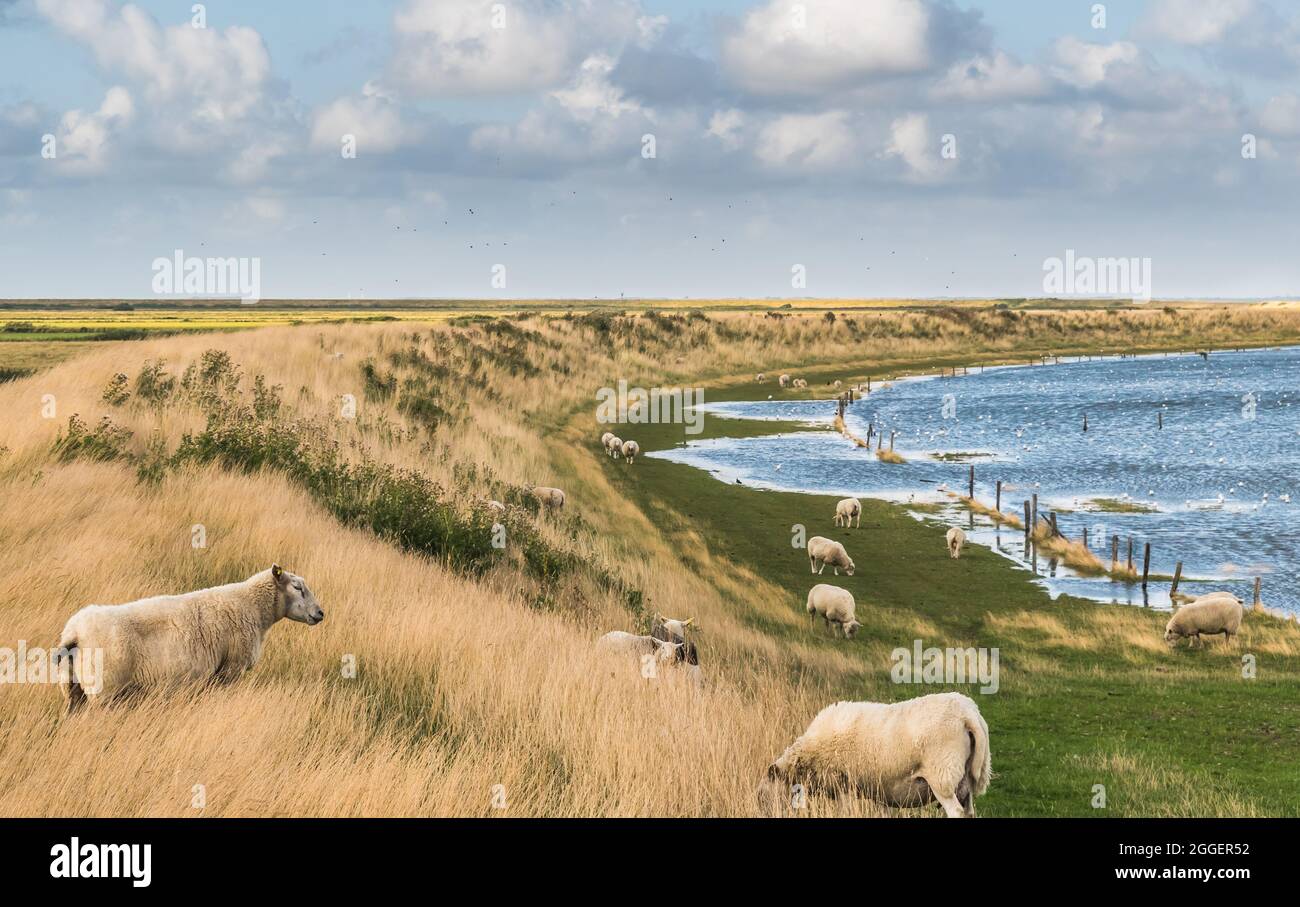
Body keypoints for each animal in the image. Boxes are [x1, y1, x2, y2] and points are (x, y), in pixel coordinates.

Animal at [55, 564, 324, 713]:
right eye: (298, 587)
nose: (321, 613)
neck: (253, 607)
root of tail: (74, 633)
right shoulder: (230, 669)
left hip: (72, 691)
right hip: (104, 693)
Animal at [757, 692, 991, 818]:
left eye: (762, 797)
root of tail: (969, 716)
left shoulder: (845, 786)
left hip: (942, 777)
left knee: (956, 812)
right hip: (965, 780)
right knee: (968, 811)